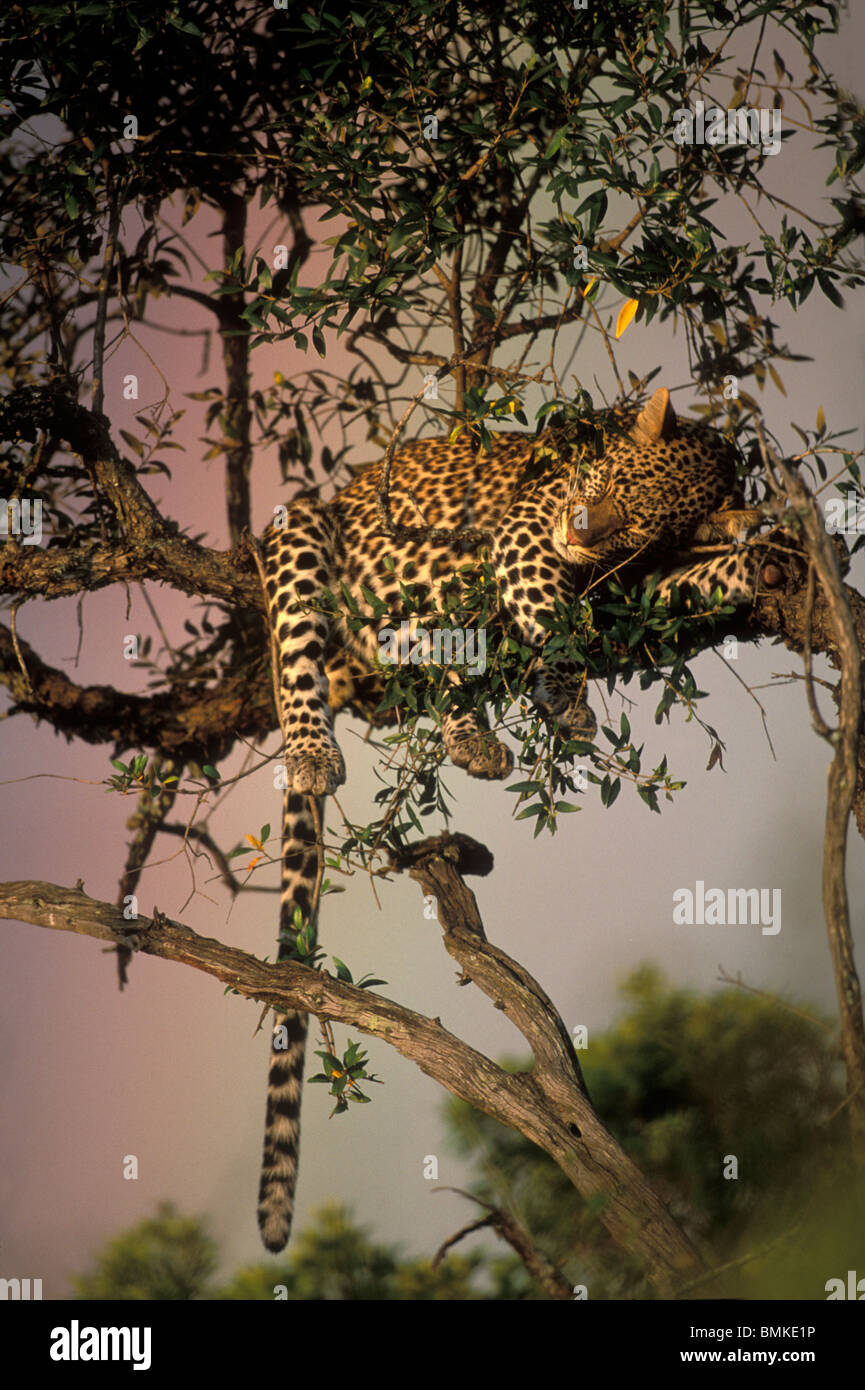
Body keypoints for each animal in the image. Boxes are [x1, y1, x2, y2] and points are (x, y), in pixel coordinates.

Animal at [254, 384, 781, 1252]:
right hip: (301, 536)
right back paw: (317, 750)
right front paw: (566, 700)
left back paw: (470, 735)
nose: (581, 531)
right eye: (606, 483)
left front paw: (763, 555)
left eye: (638, 522)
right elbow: (546, 605)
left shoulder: (637, 584)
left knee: (438, 656)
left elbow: (678, 580)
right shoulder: (523, 536)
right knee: (315, 656)